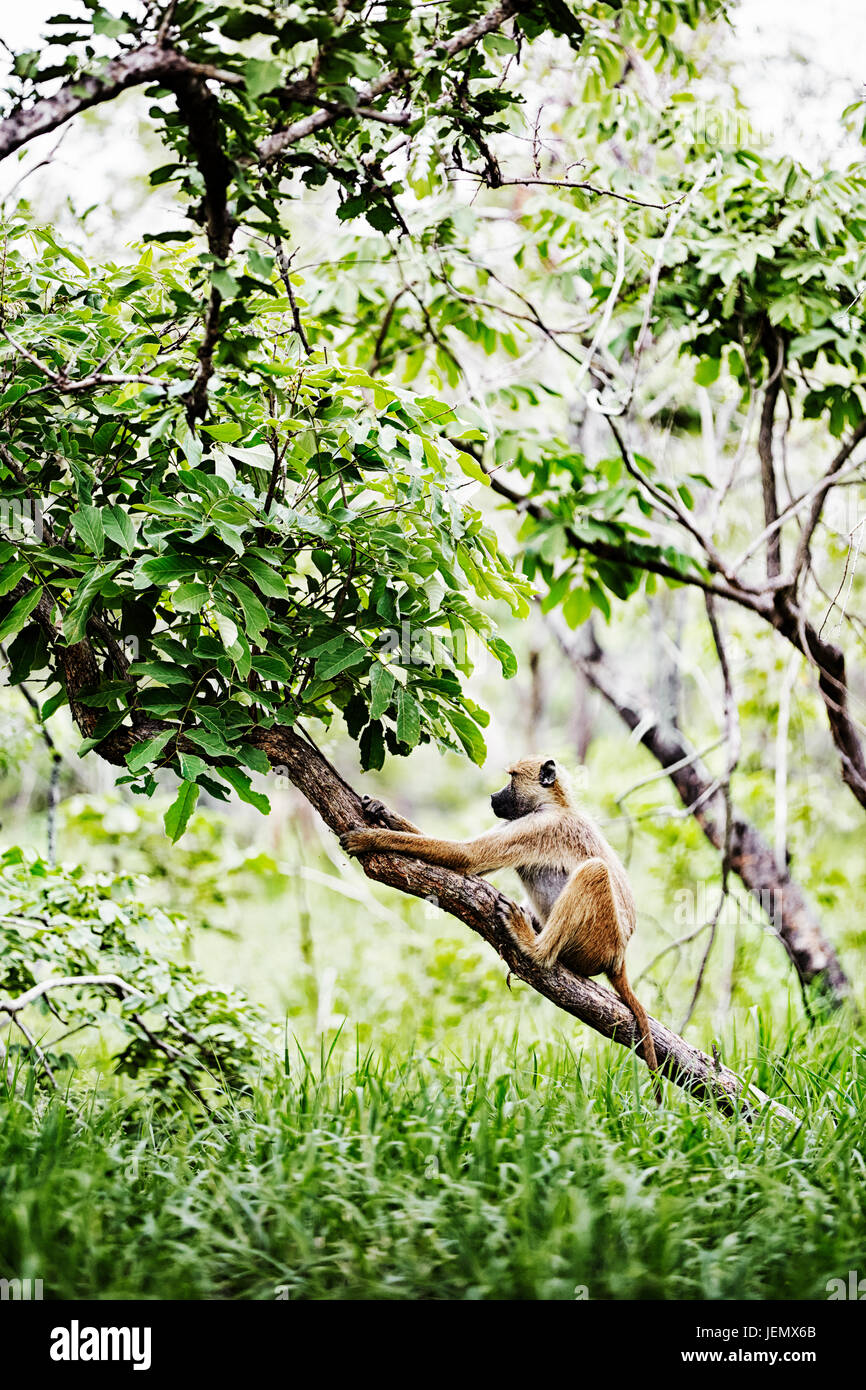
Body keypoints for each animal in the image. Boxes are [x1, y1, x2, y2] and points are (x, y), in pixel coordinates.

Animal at [341, 756, 663, 1103]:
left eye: (511, 779)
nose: (494, 797)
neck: (555, 804)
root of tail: (618, 957)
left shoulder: (539, 827)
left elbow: (467, 856)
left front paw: (368, 838)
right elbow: (468, 856)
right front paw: (382, 811)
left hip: (598, 942)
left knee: (593, 871)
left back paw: (535, 948)